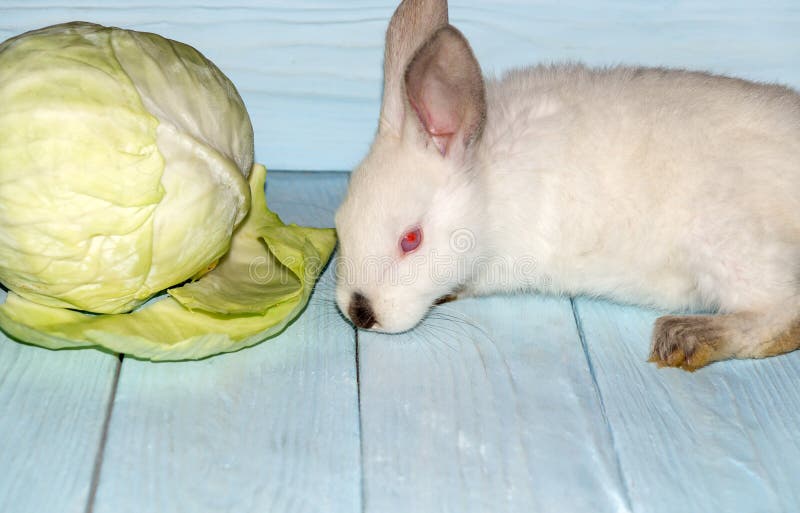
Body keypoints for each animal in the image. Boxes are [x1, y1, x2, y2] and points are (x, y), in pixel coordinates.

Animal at [334, 0, 800, 370]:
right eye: (339, 224)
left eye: (411, 240)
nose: (359, 313)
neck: (487, 184)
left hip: (726, 242)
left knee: (782, 315)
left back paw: (685, 338)